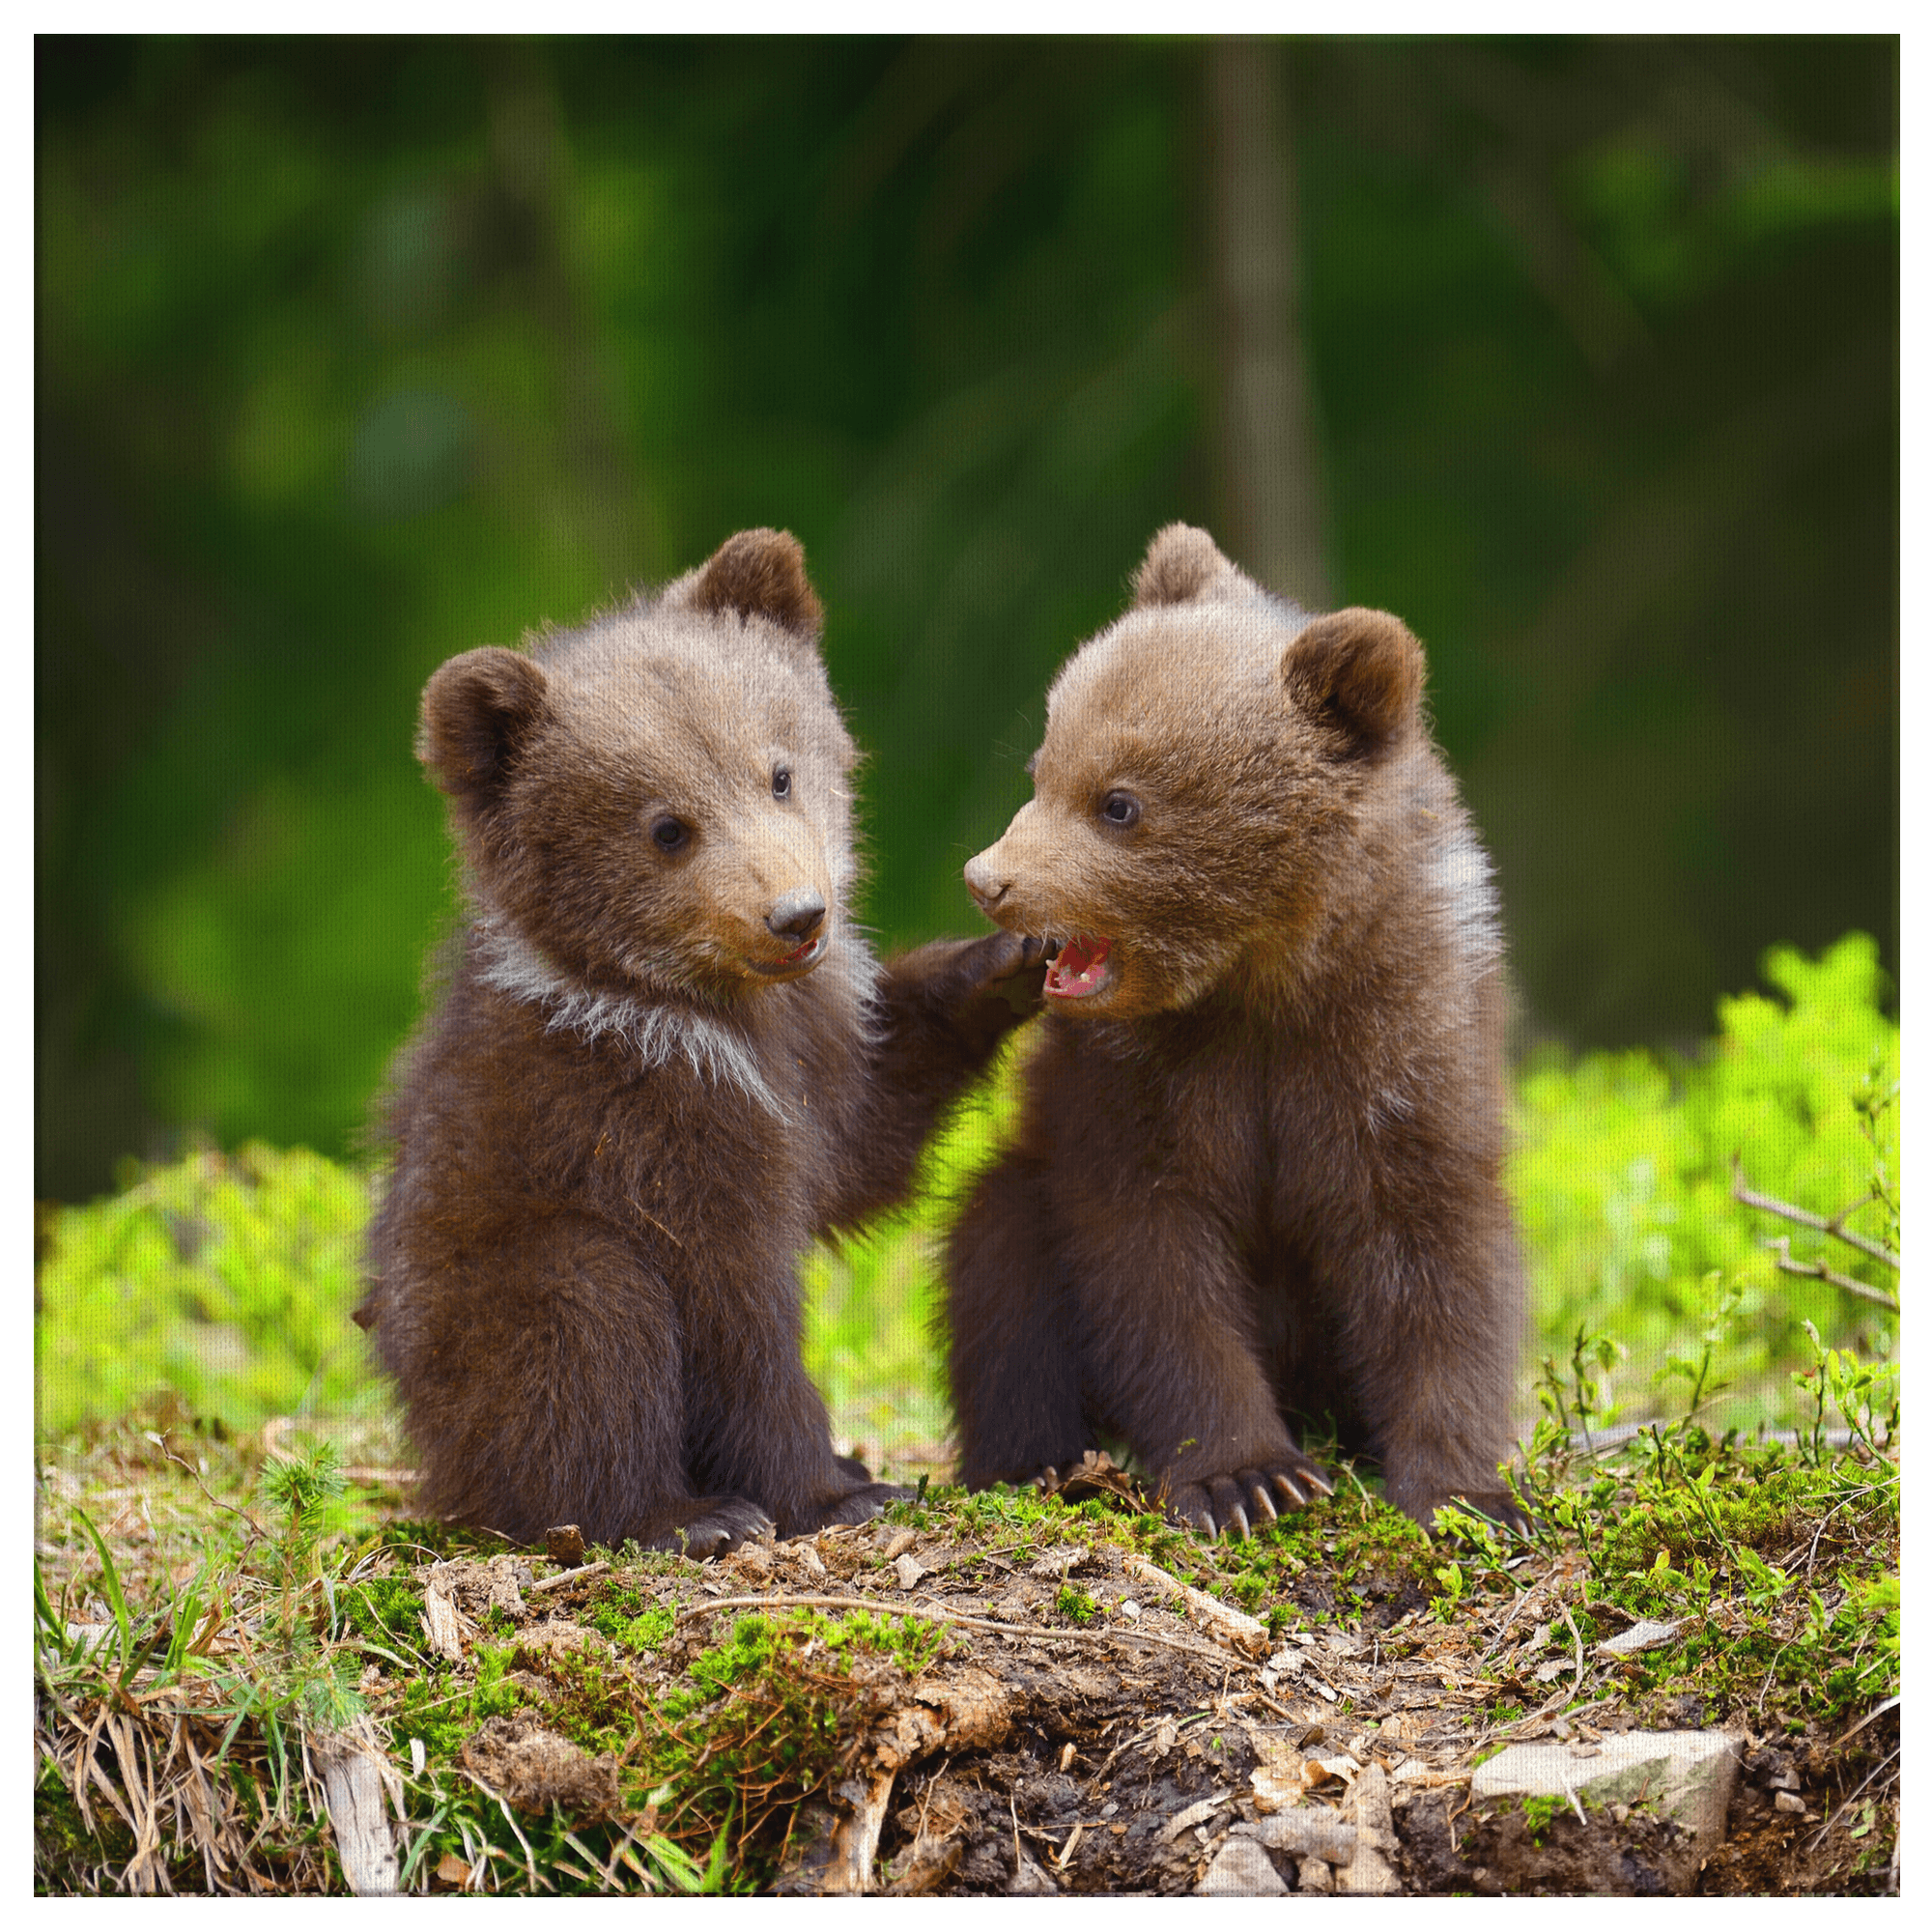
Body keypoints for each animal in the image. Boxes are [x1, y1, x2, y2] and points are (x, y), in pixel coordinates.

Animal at [357, 529, 1043, 1557]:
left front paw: (1007, 958)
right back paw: (684, 1514)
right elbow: (735, 1312)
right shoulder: (651, 1119)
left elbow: (864, 1141)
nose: (797, 916)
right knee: (587, 1325)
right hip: (482, 1297)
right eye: (668, 827)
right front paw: (831, 1491)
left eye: (779, 772)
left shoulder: (813, 1056)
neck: (709, 1012)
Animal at [942, 522, 1529, 1537]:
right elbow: (1155, 1265)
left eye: (1120, 801)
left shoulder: (1397, 1041)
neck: (1261, 981)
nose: (990, 878)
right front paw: (1247, 1477)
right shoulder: (1141, 1082)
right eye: (1040, 768)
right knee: (998, 1270)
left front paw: (1467, 1490)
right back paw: (1034, 1462)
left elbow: (1434, 1254)